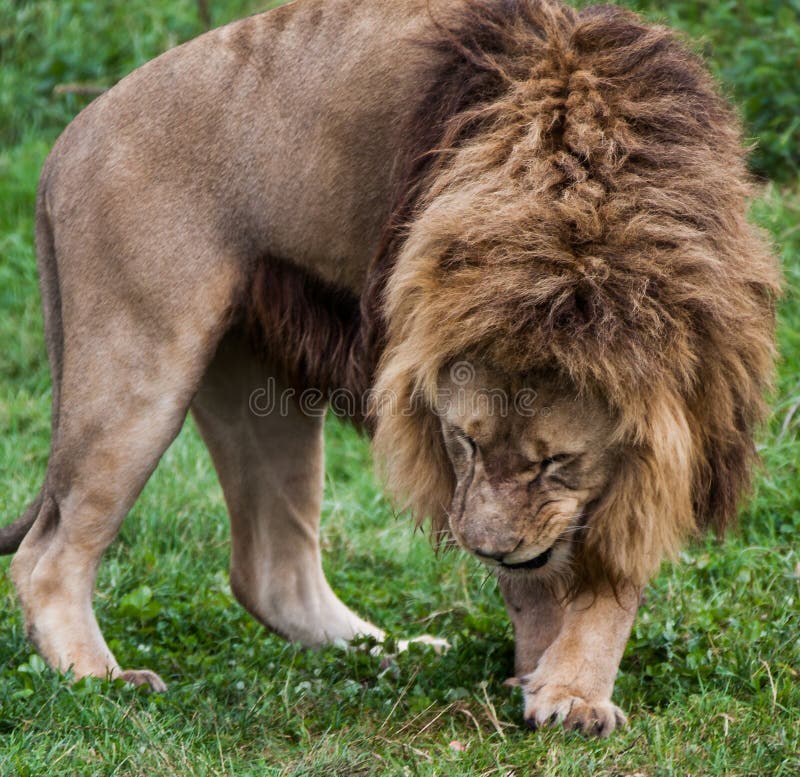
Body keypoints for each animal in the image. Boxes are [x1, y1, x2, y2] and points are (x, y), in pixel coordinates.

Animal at [0, 0, 780, 736]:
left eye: (555, 462)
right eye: (463, 441)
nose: (484, 549)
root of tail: (66, 140)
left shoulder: (674, 433)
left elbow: (605, 582)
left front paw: (566, 686)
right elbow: (538, 587)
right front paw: (552, 682)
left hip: (261, 385)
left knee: (271, 571)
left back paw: (389, 650)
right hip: (140, 366)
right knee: (48, 556)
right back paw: (99, 678)